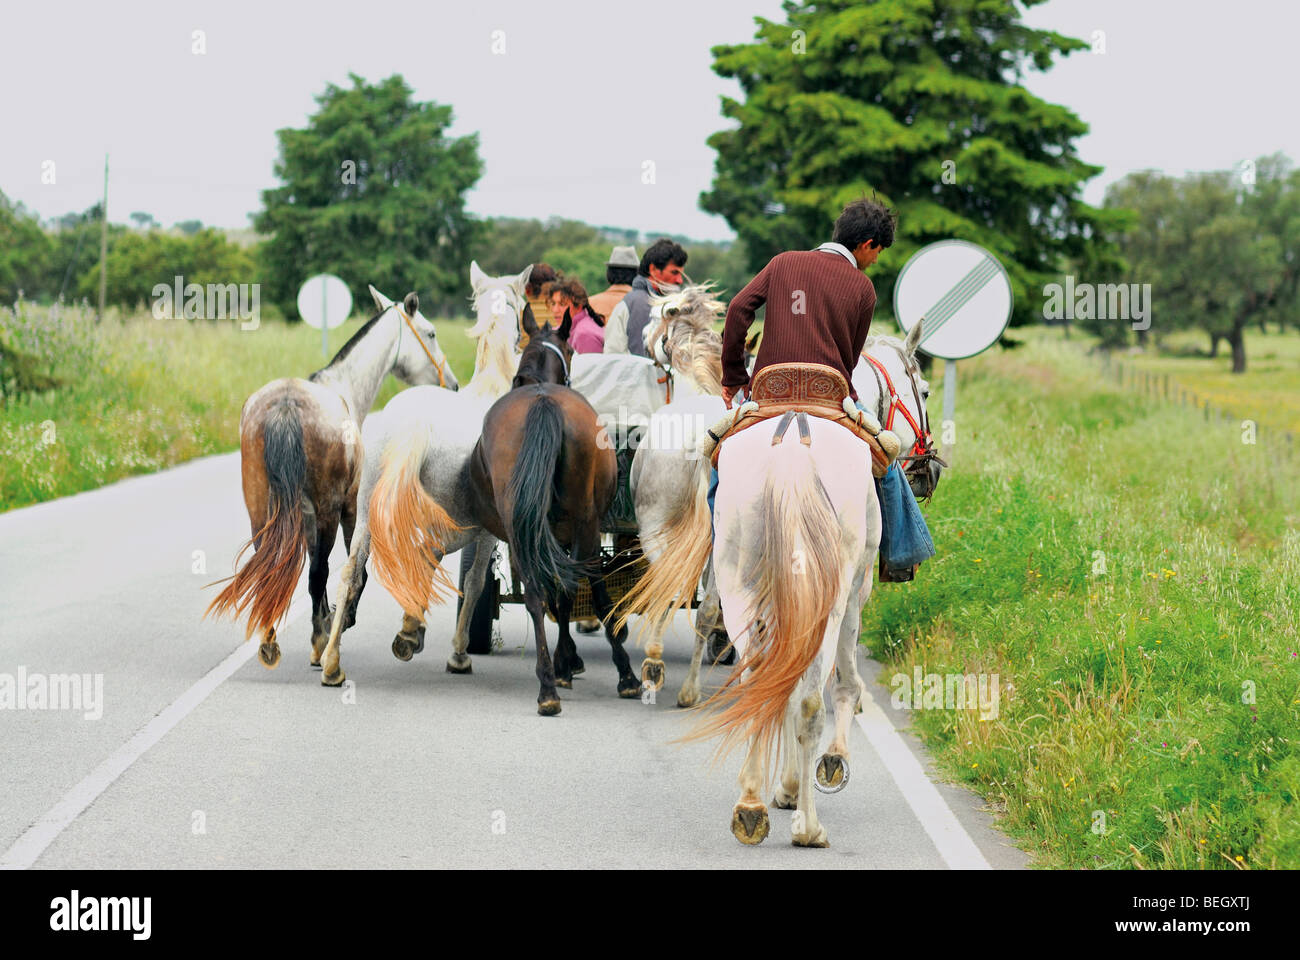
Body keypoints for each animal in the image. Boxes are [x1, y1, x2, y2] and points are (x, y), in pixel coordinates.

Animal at [204, 287, 457, 670]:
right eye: (431, 333)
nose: (452, 384)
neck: (345, 387)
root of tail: (285, 406)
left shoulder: (308, 516)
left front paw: (324, 618)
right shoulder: (350, 508)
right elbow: (353, 569)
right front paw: (338, 621)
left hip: (260, 509)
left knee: (271, 567)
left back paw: (270, 641)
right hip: (326, 510)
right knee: (319, 571)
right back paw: (318, 642)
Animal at [318, 262, 529, 686]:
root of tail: (414, 426)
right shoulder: (484, 530)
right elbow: (475, 582)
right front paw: (458, 653)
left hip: (366, 511)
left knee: (353, 571)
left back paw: (333, 662)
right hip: (453, 516)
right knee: (429, 553)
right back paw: (411, 631)